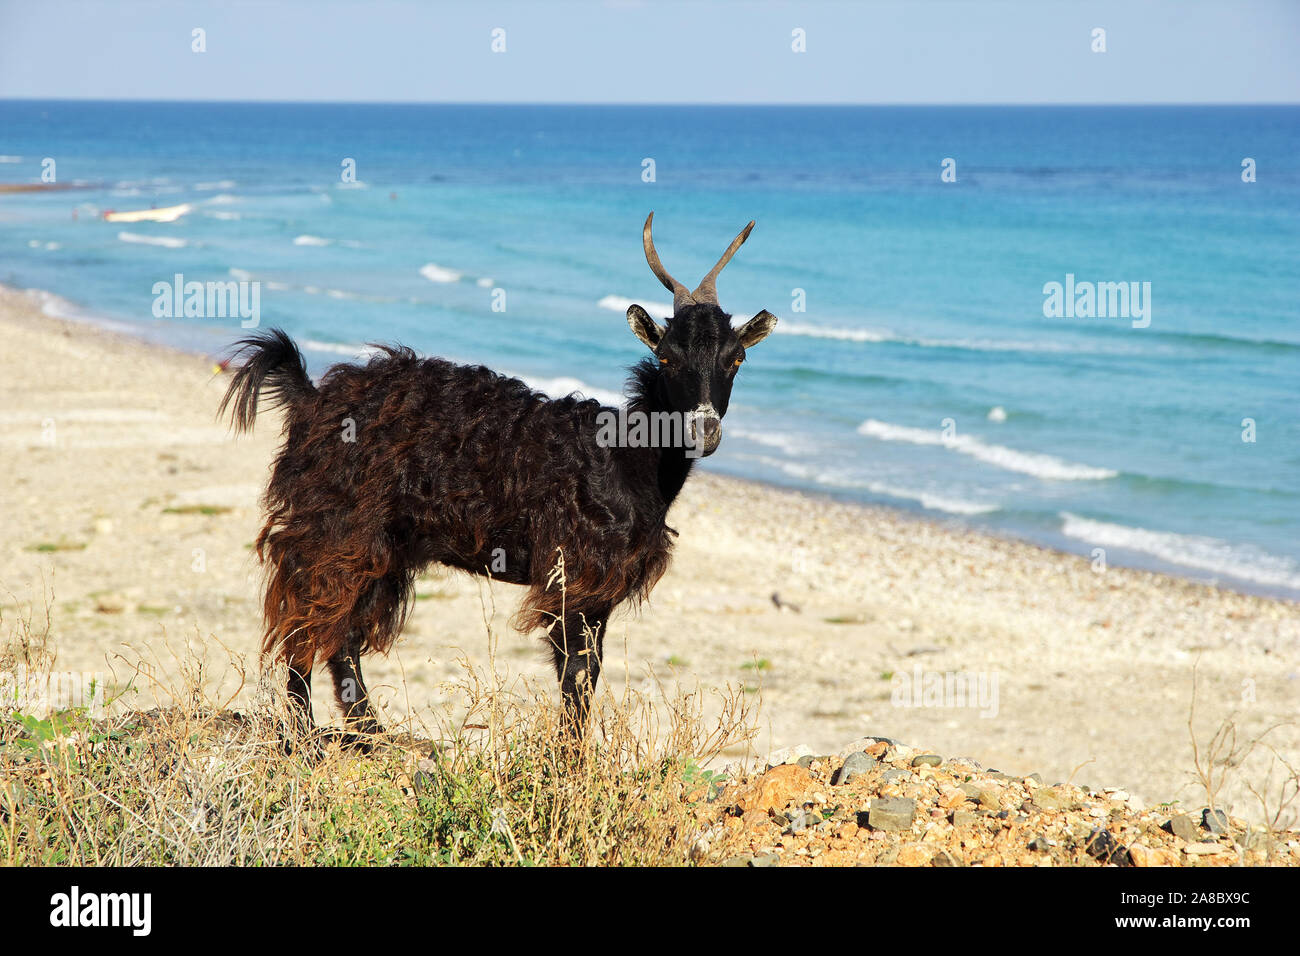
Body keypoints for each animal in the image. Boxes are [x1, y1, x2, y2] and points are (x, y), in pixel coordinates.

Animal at [220, 213, 777, 743]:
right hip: (334, 530)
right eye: (666, 357)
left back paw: (374, 733)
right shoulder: (579, 577)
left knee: (342, 634)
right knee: (306, 621)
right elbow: (578, 675)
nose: (704, 430)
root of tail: (313, 396)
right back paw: (304, 733)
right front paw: (569, 761)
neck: (627, 458)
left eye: (737, 358)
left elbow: (586, 673)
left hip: (382, 548)